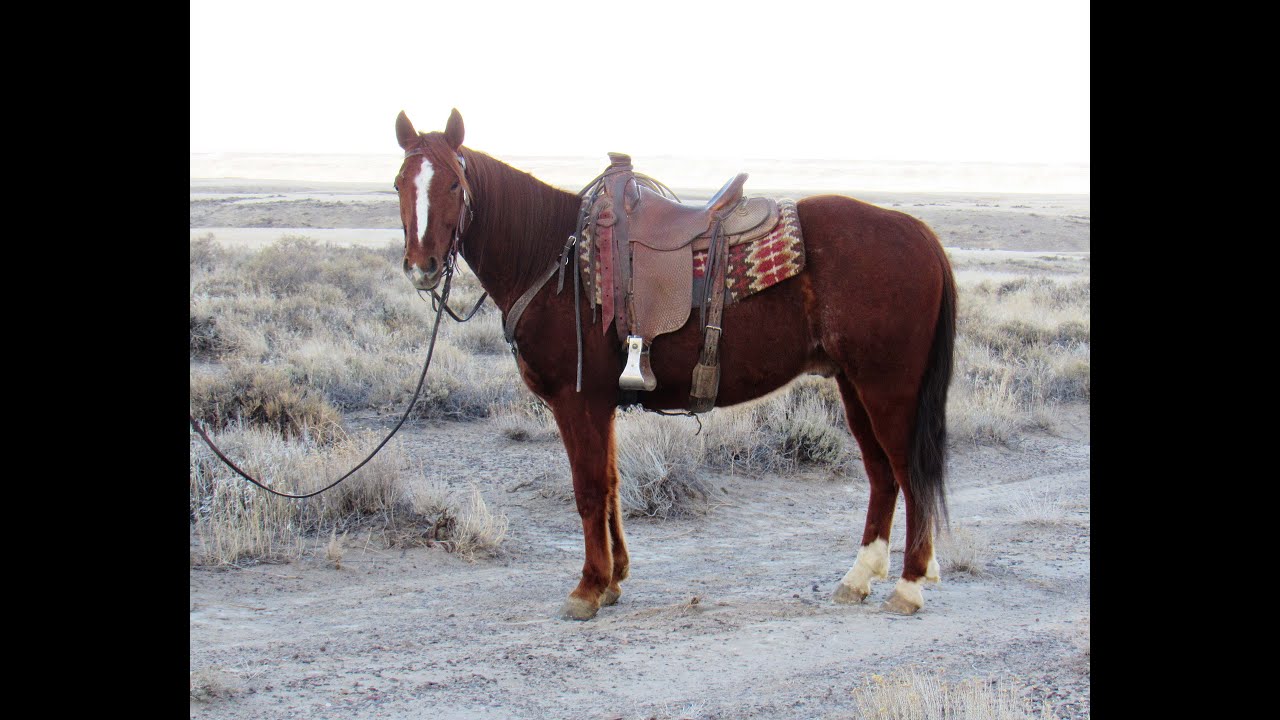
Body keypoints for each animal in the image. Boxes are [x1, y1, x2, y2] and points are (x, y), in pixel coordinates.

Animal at [393, 109, 957, 620]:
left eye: (453, 183)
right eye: (400, 182)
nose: (422, 266)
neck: (555, 259)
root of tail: (921, 234)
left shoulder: (577, 401)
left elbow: (588, 489)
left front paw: (588, 588)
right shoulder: (602, 404)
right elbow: (612, 485)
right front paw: (615, 579)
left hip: (889, 388)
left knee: (908, 475)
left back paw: (908, 586)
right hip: (854, 386)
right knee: (882, 477)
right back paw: (858, 579)